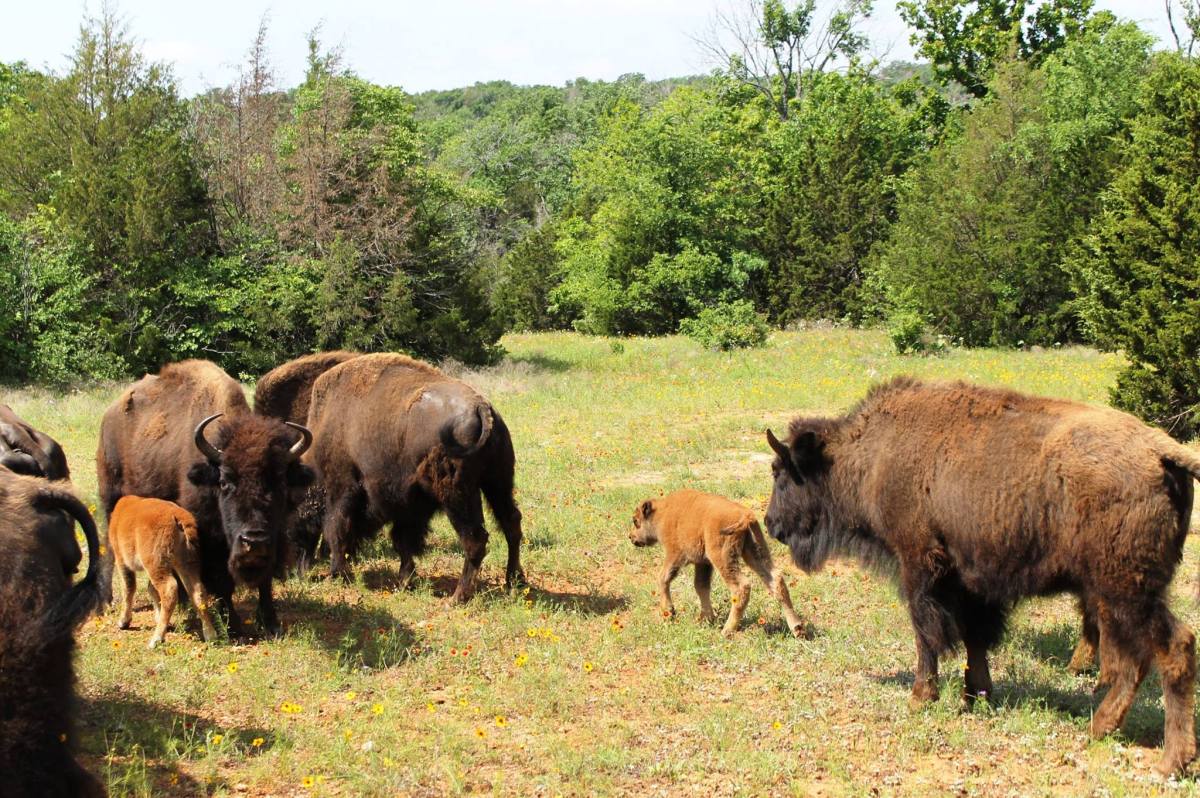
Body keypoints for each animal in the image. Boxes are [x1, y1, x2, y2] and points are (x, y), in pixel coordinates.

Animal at [96, 360, 313, 635]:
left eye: (281, 482)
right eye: (224, 482)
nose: (253, 541)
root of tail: (109, 415)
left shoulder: (275, 537)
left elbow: (265, 581)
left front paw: (271, 623)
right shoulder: (209, 538)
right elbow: (222, 581)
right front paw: (233, 625)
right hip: (110, 497)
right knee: (109, 545)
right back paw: (106, 602)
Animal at [306, 353, 525, 601]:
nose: (299, 569)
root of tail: (481, 407)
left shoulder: (344, 490)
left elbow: (337, 530)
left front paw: (338, 574)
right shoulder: (410, 505)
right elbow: (403, 541)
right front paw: (404, 581)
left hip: (458, 495)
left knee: (475, 539)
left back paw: (458, 597)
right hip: (498, 482)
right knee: (511, 523)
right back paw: (514, 581)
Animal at [764, 376, 1200, 775]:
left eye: (780, 473)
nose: (770, 523)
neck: (875, 452)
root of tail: (1161, 451)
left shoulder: (920, 565)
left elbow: (927, 633)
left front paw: (922, 696)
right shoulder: (970, 582)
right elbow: (974, 636)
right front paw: (977, 694)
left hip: (1125, 590)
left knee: (1173, 647)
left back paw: (1170, 761)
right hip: (1115, 594)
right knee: (1134, 659)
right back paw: (1100, 728)